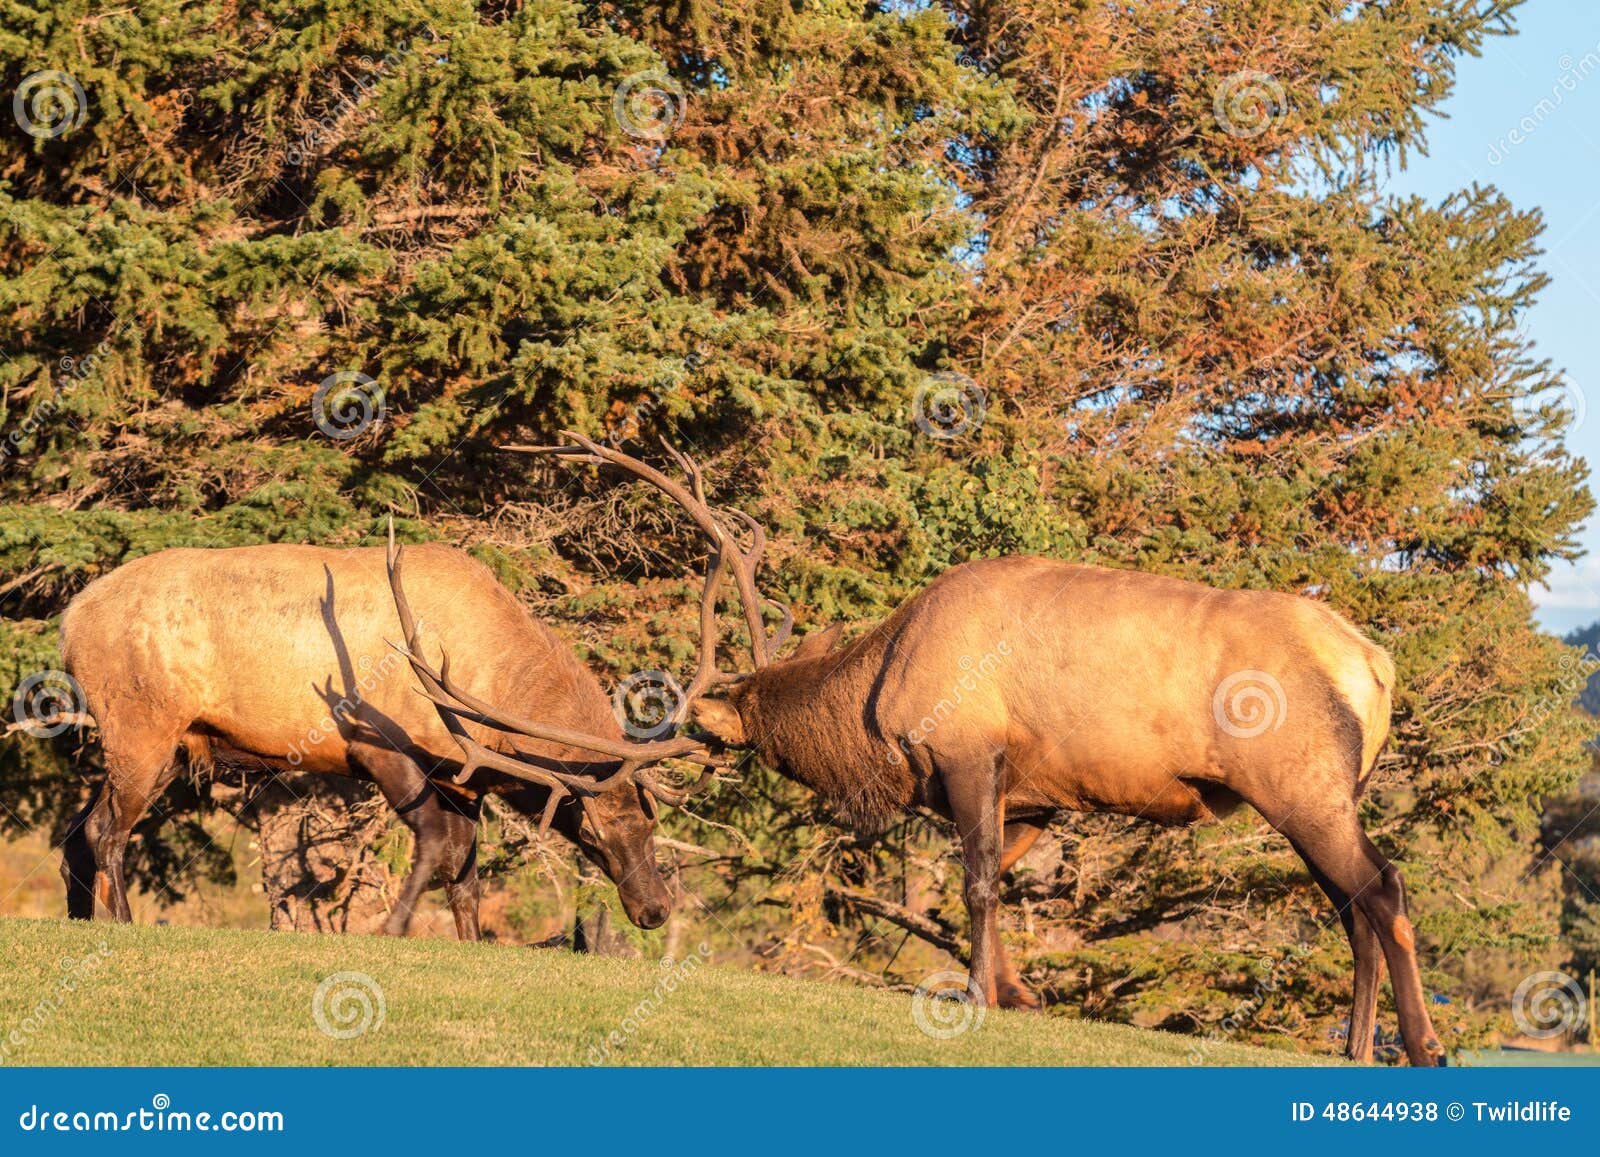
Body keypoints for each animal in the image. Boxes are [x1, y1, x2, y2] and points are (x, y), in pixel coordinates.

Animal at [53, 511, 741, 940]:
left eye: (652, 824)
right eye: (591, 831)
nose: (654, 910)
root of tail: (69, 619)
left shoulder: (464, 777)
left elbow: (465, 870)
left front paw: (473, 941)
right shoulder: (377, 744)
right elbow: (434, 844)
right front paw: (392, 927)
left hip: (166, 745)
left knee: (78, 831)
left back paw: (80, 919)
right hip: (140, 727)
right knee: (108, 831)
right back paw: (122, 925)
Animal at [541, 433, 1447, 1066]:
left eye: (703, 729)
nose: (677, 759)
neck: (876, 704)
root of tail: (1377, 665)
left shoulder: (966, 749)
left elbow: (975, 881)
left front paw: (979, 992)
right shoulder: (1036, 792)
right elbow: (990, 880)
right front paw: (1019, 990)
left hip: (1300, 784)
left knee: (1384, 886)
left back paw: (1423, 1044)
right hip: (1318, 797)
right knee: (1351, 904)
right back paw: (1356, 1044)